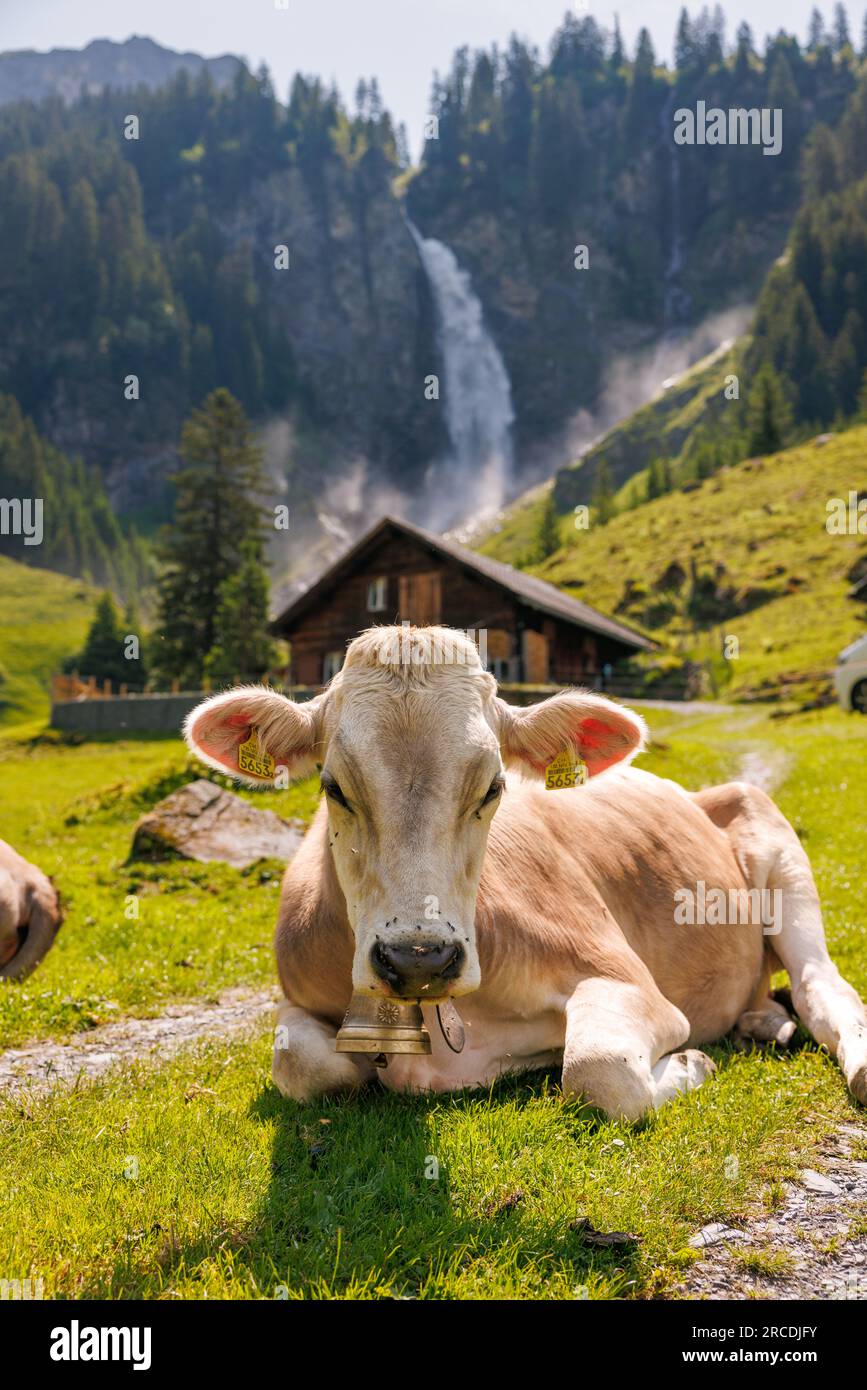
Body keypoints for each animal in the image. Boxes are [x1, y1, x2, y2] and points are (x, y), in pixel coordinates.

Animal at [184, 625, 867, 1119]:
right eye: (334, 786)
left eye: (493, 786)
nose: (418, 958)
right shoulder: (297, 997)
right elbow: (299, 1064)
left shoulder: (624, 978)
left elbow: (599, 1071)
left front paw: (693, 1062)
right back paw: (762, 1023)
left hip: (777, 851)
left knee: (821, 984)